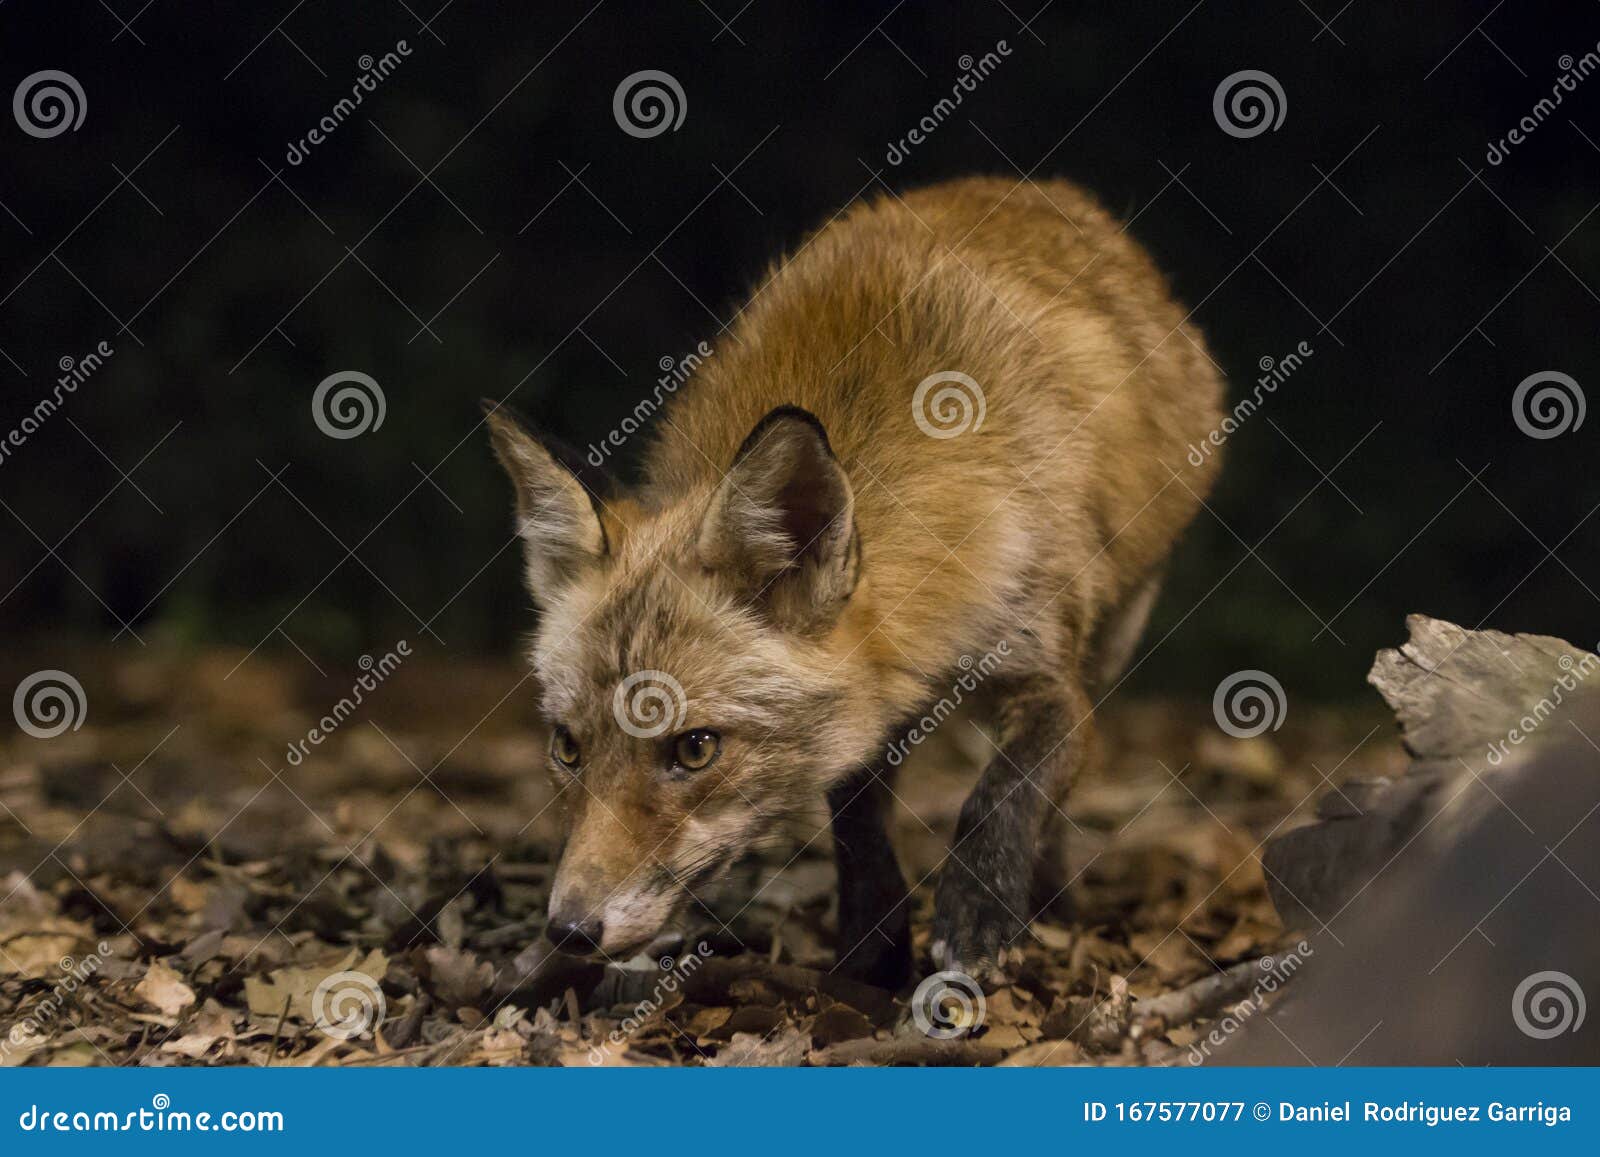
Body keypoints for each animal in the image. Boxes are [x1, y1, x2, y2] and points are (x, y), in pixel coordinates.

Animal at [486, 175, 1223, 990]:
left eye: (696, 749)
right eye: (567, 748)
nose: (569, 930)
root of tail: (1042, 189)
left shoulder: (1042, 655)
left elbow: (1005, 789)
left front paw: (978, 915)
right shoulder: (870, 704)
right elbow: (856, 820)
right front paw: (873, 942)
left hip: (1117, 627)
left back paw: (1050, 894)